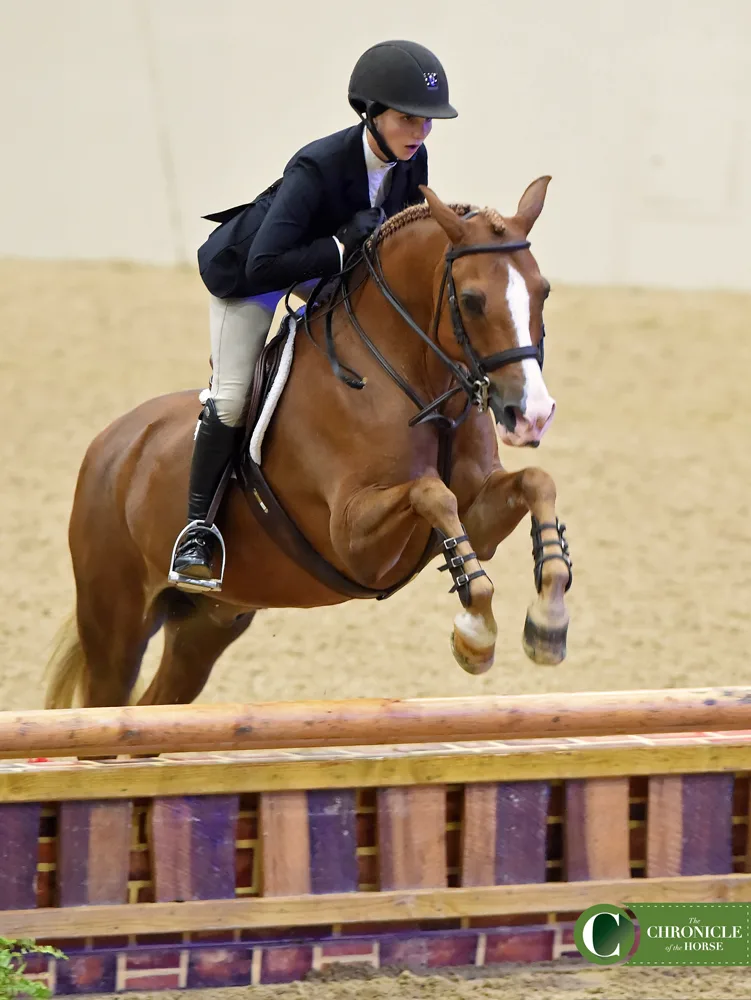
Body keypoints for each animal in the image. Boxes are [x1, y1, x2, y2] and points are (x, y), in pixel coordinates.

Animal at [44, 179, 573, 711]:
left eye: (543, 290)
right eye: (472, 299)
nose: (532, 415)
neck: (416, 378)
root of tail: (113, 443)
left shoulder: (478, 521)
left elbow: (536, 482)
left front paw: (548, 621)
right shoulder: (352, 539)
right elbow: (431, 492)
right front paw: (475, 635)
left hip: (208, 621)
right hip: (116, 618)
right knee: (104, 700)